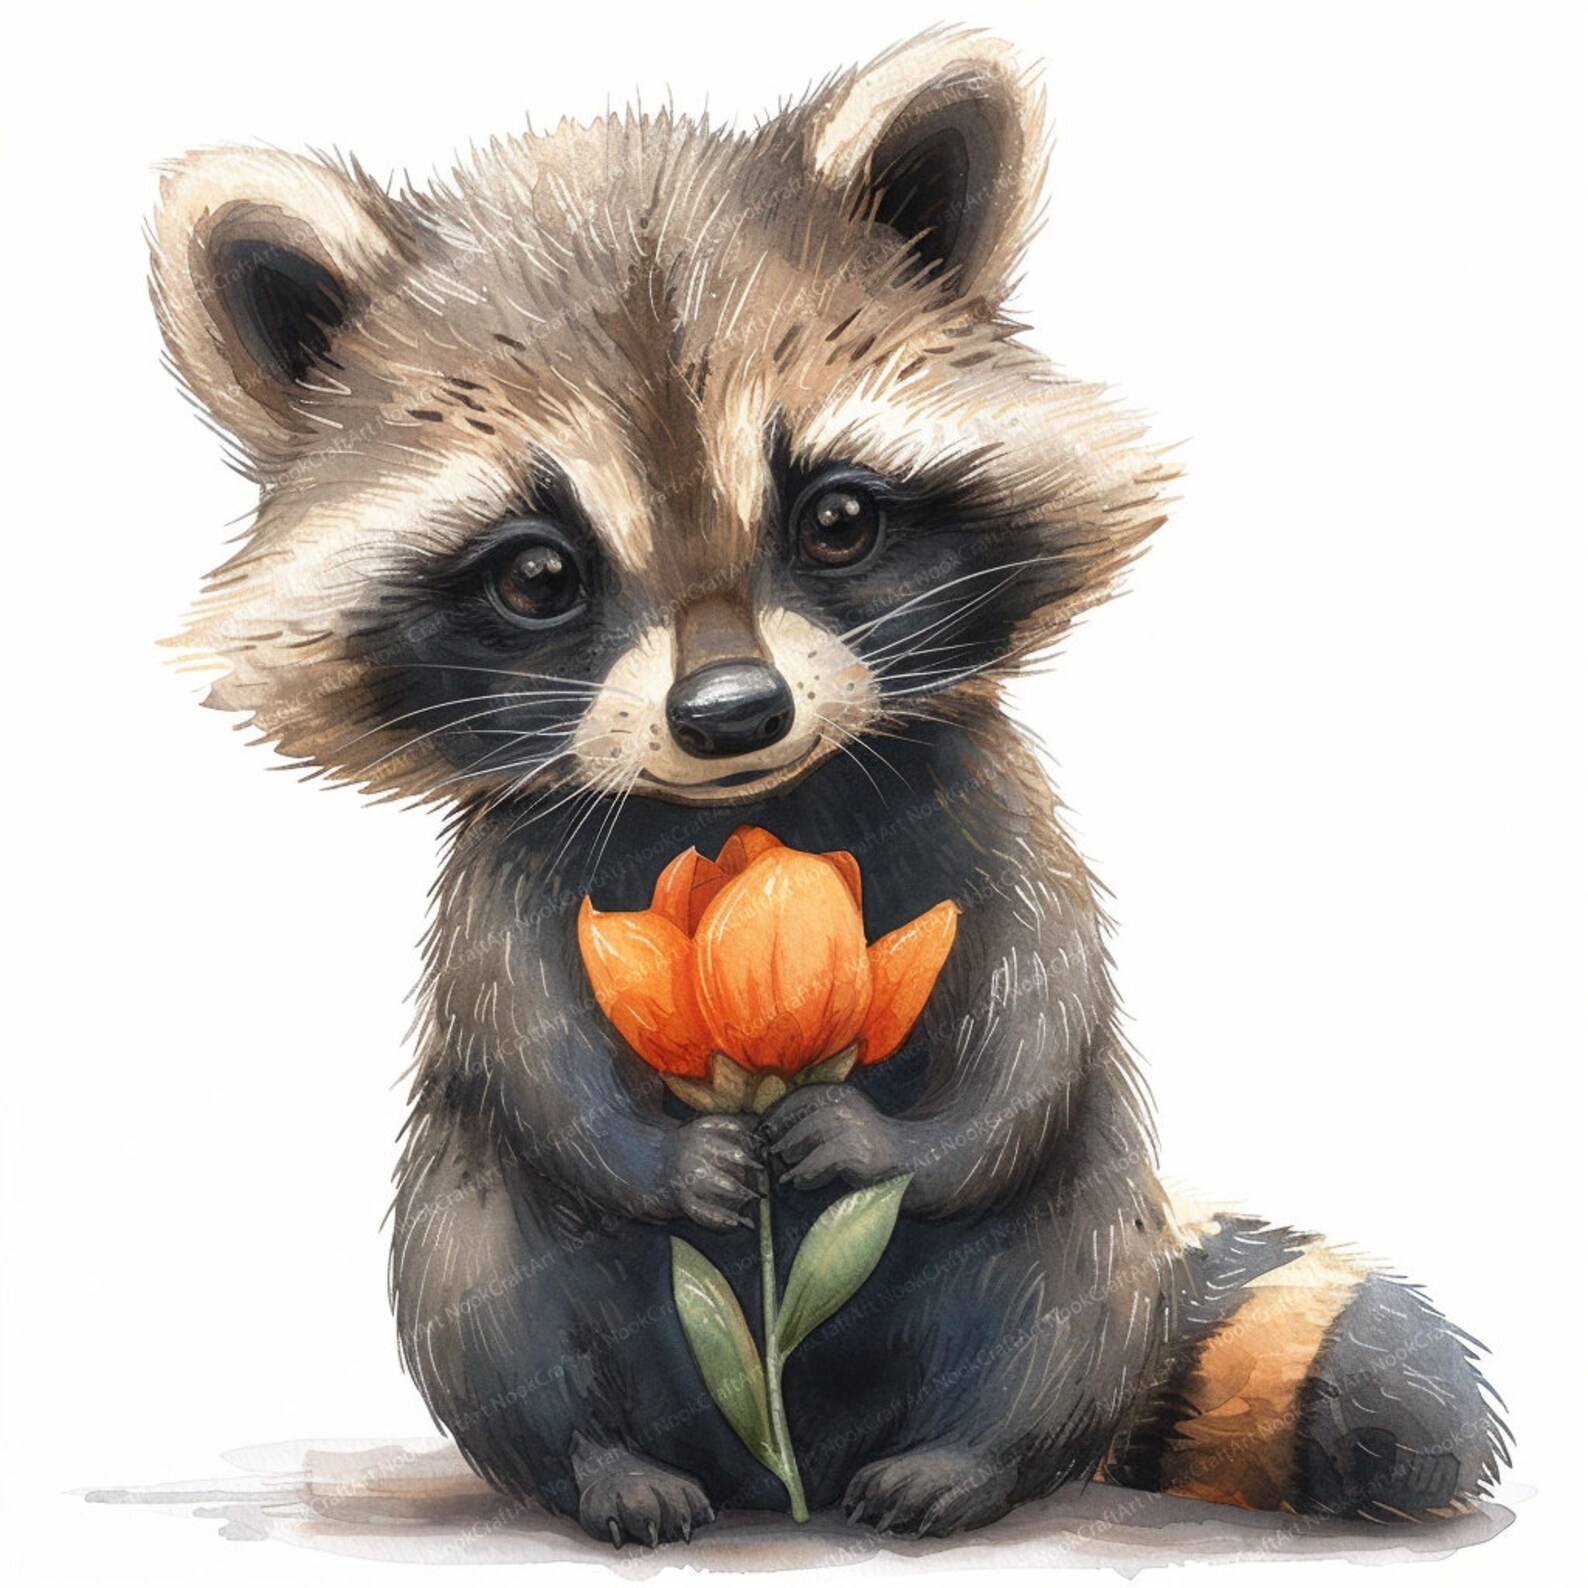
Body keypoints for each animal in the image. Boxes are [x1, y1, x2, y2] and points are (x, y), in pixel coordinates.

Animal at [150, 29, 1506, 1545]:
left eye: (838, 517)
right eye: (539, 574)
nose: (732, 715)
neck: (744, 810)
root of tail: (777, 1473)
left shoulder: (990, 795)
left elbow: (1036, 1020)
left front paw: (886, 1136)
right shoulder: (511, 854)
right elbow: (528, 1044)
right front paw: (652, 1156)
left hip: (1094, 1248)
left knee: (1057, 1281)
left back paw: (969, 1456)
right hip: (494, 1254)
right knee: (482, 1273)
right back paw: (602, 1466)